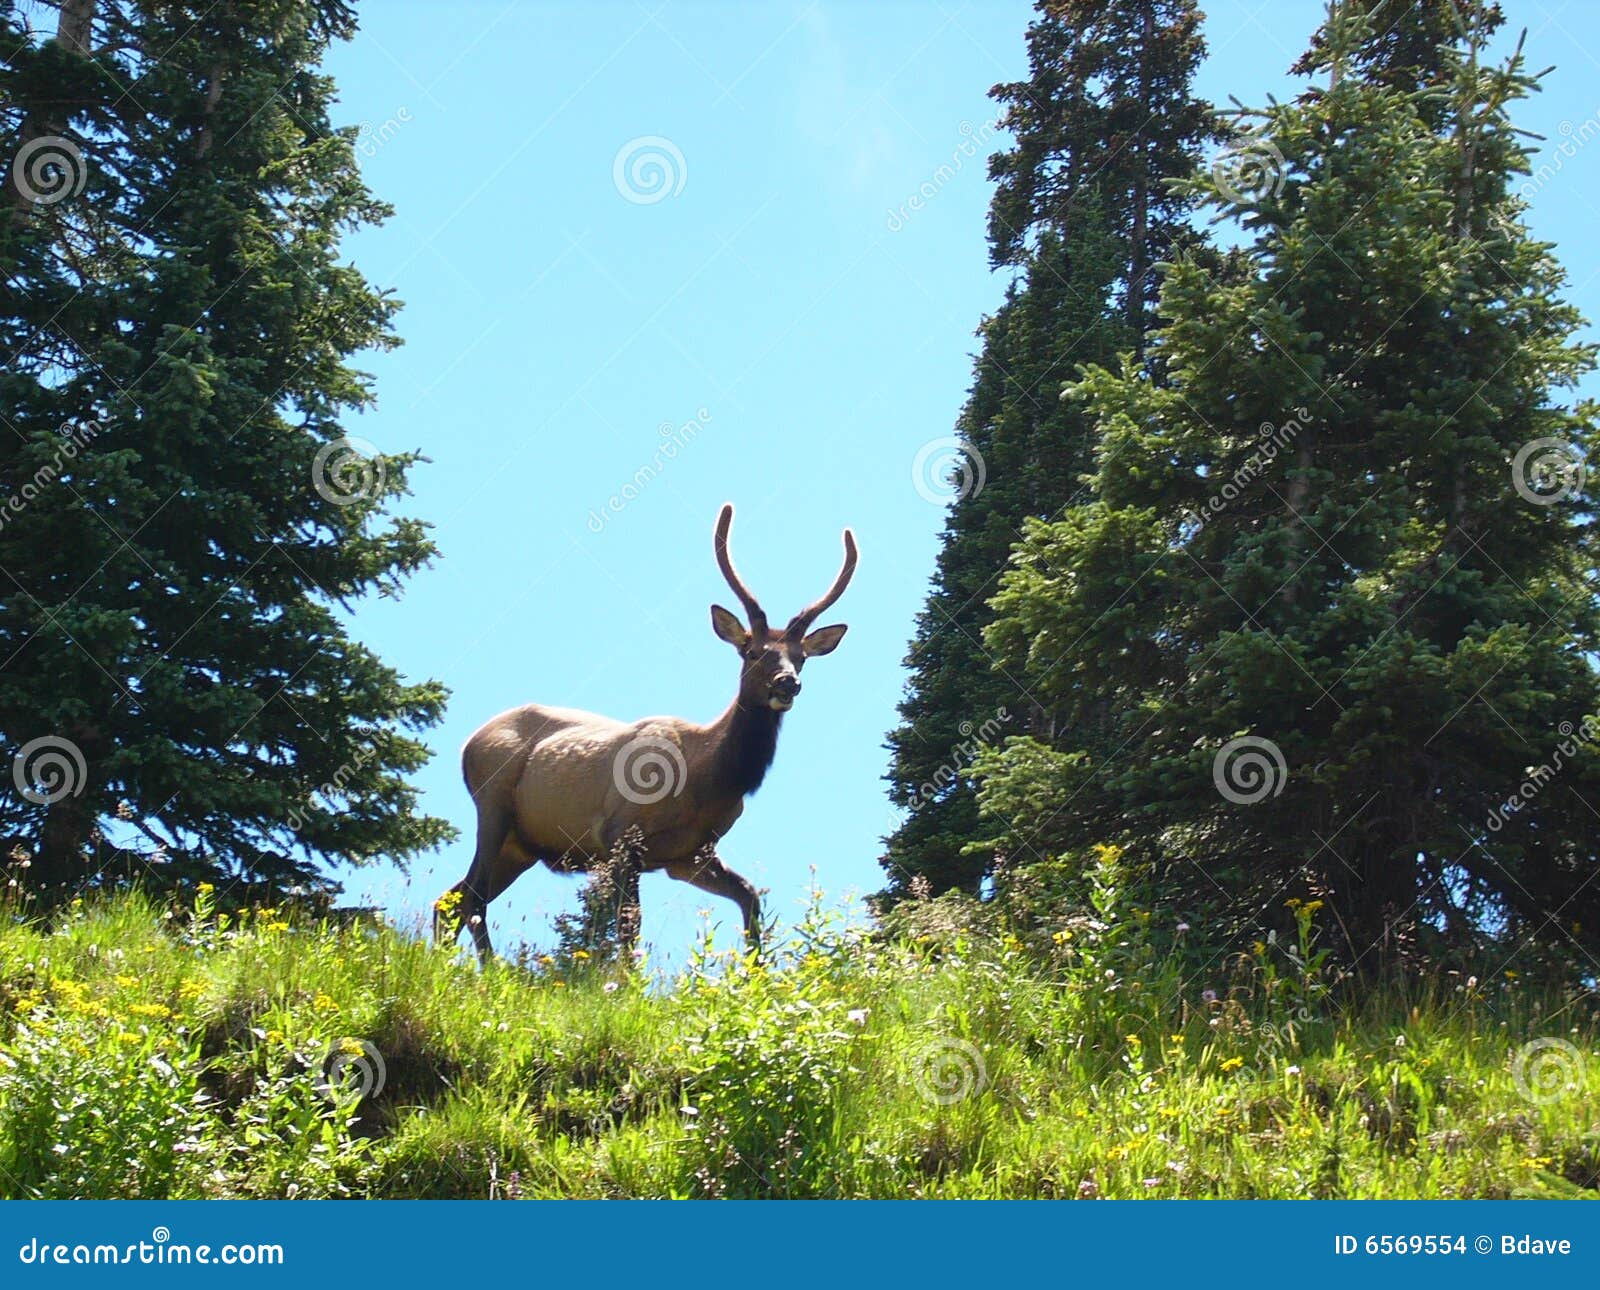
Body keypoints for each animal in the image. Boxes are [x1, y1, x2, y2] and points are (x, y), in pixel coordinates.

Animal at [434, 503, 857, 962]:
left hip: (521, 845)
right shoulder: (621, 835)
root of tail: (467, 745)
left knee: (450, 900)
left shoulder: (690, 854)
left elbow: (750, 896)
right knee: (472, 898)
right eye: (752, 652)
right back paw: (489, 967)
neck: (707, 779)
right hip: (492, 805)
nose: (787, 683)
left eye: (800, 657)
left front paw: (753, 972)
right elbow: (629, 927)